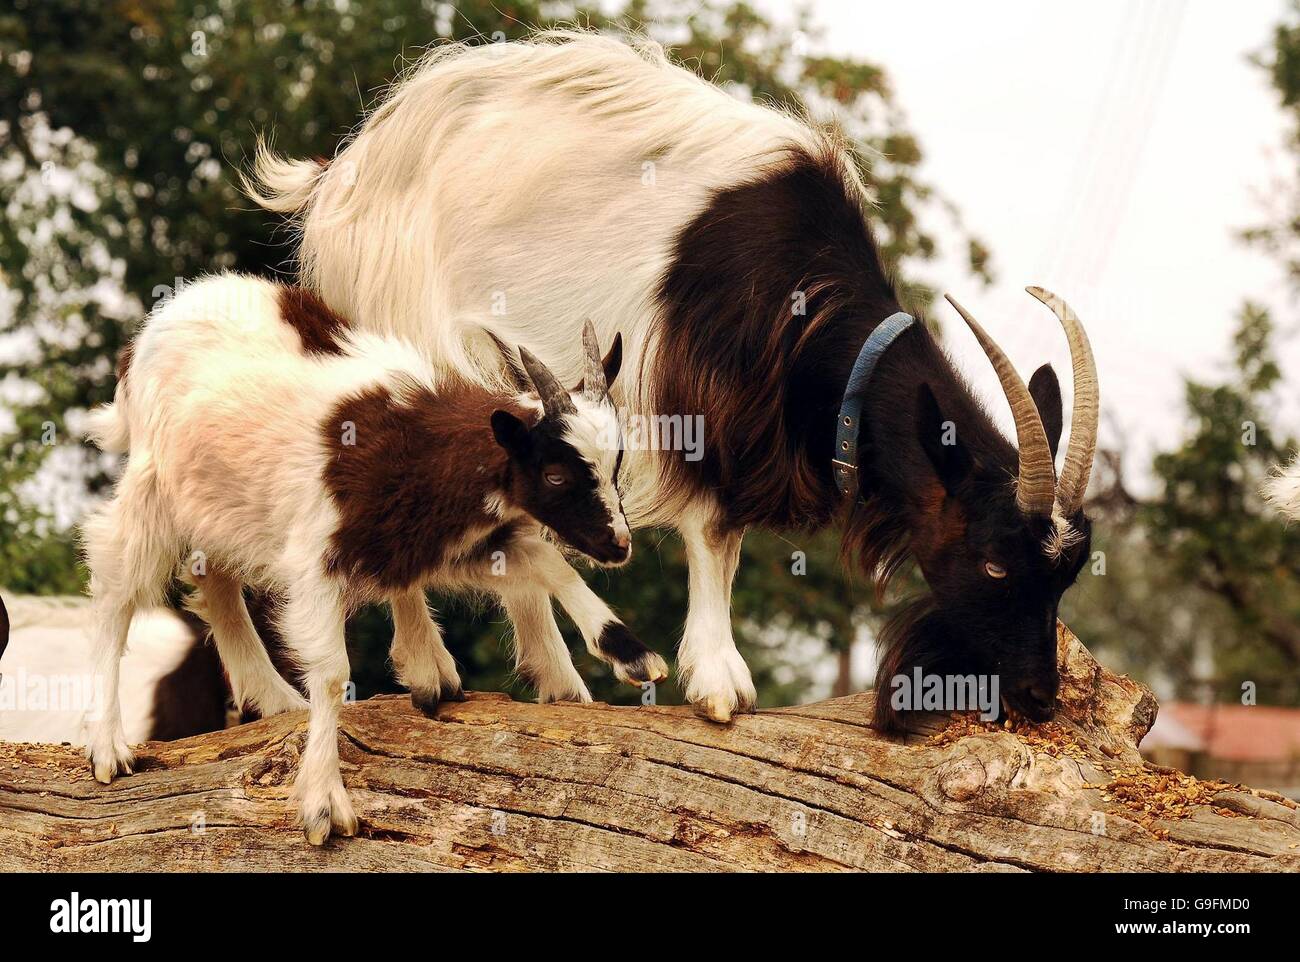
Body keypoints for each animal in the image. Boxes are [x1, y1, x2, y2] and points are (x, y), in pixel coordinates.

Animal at [82, 273, 666, 844]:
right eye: (555, 474)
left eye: (616, 462)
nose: (618, 545)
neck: (419, 446)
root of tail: (158, 324)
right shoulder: (317, 558)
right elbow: (332, 674)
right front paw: (324, 804)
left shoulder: (443, 541)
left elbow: (548, 564)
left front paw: (631, 654)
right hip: (154, 488)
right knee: (115, 589)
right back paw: (108, 746)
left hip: (223, 503)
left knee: (215, 581)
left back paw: (279, 699)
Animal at [246, 31, 1104, 729]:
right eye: (994, 560)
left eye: (1067, 573)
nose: (1039, 696)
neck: (807, 285)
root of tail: (343, 170)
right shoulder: (699, 393)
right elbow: (715, 533)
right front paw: (719, 680)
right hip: (405, 326)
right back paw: (430, 668)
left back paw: (556, 681)